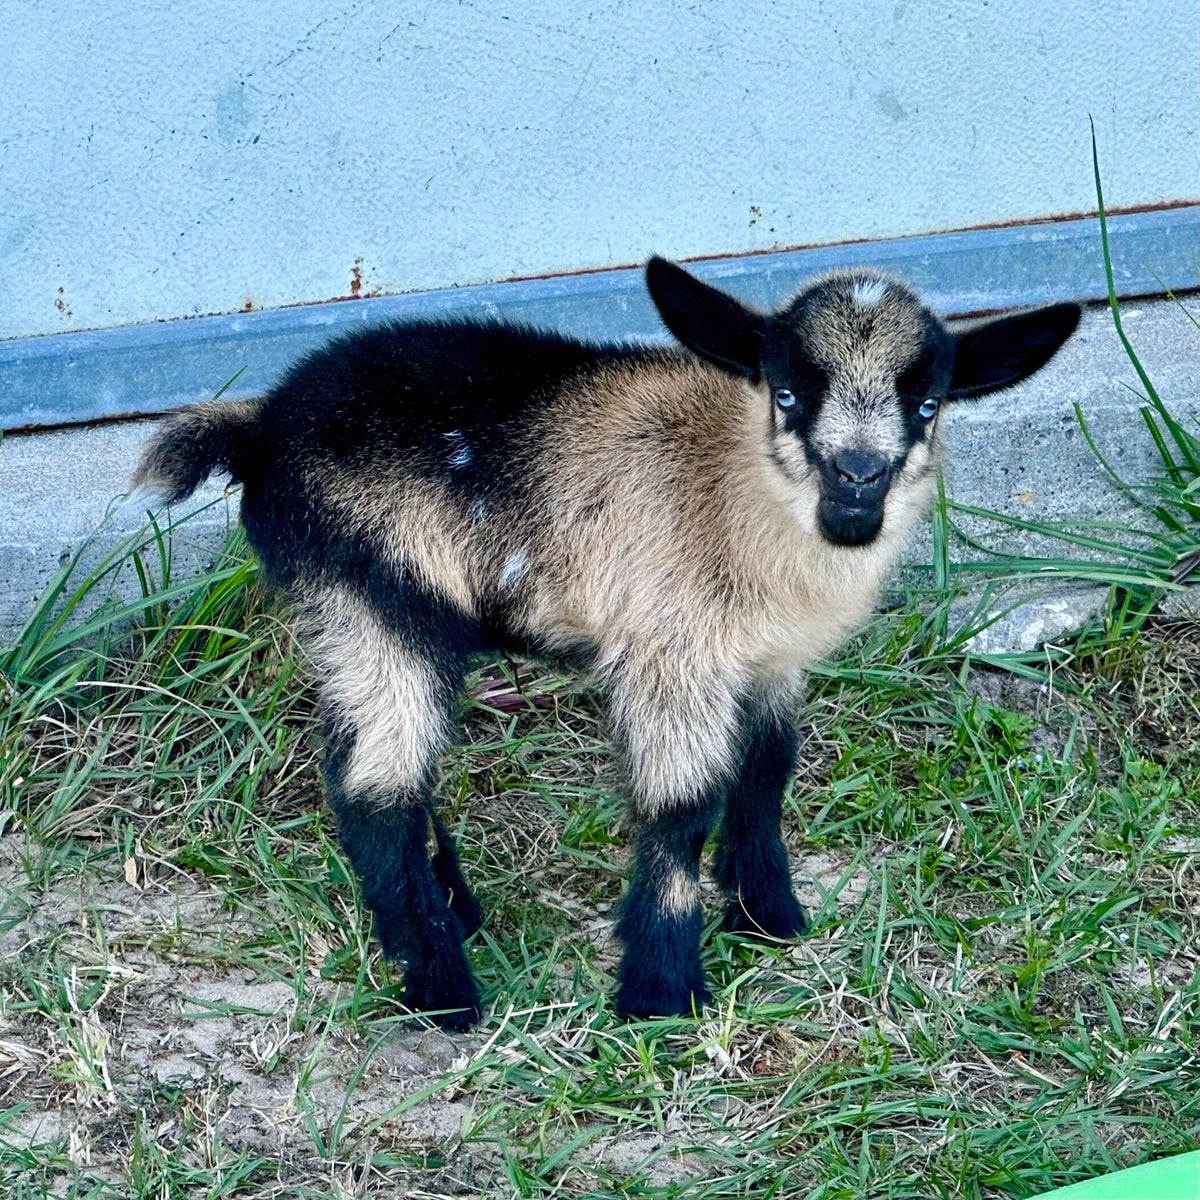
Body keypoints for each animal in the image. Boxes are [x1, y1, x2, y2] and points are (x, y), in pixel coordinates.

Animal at [132, 258, 1080, 1028]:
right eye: (786, 393)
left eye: (927, 403)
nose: (856, 483)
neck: (735, 495)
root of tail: (259, 428)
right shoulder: (669, 652)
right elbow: (681, 808)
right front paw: (661, 992)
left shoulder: (767, 662)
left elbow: (767, 770)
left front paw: (769, 916)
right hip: (379, 594)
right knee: (377, 787)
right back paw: (443, 990)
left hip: (361, 612)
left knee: (366, 762)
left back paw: (448, 919)